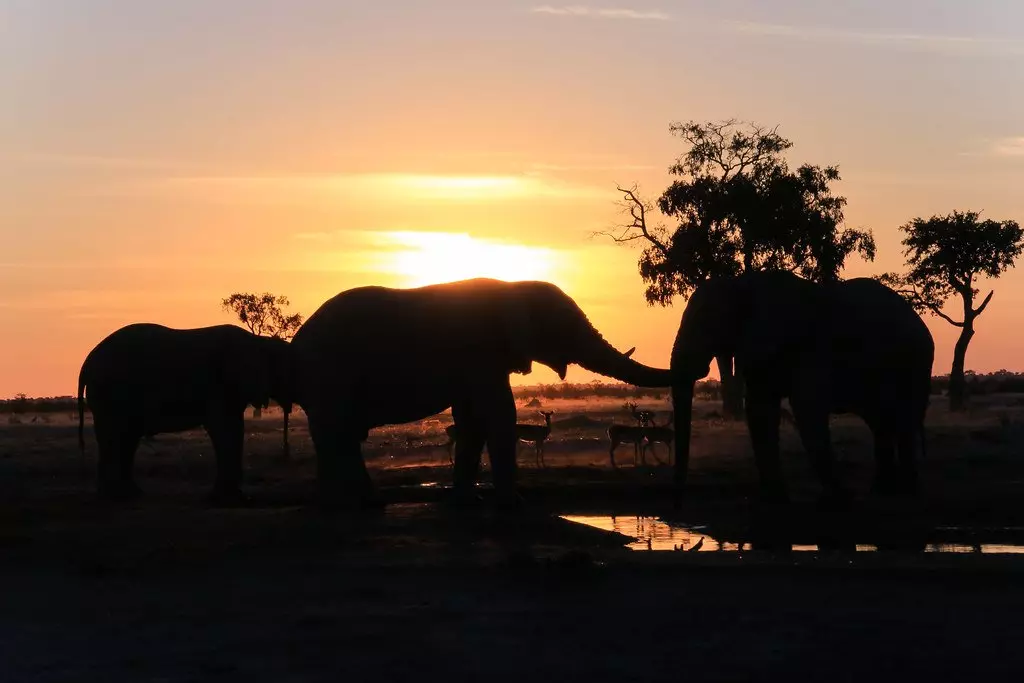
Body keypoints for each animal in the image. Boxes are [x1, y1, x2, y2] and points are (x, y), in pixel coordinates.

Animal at [78, 323, 292, 505]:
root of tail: (87, 363)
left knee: (125, 439)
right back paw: (116, 498)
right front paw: (226, 500)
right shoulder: (219, 386)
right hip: (110, 394)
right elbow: (224, 429)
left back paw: (127, 495)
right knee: (117, 437)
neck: (259, 342)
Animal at [288, 276, 671, 507]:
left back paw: (350, 504)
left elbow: (471, 419)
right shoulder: (480, 353)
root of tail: (298, 341)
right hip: (330, 373)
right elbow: (499, 412)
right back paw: (356, 505)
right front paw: (514, 504)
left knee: (339, 434)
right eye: (565, 326)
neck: (513, 287)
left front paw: (466, 502)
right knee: (337, 432)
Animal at [671, 272, 937, 507]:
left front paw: (837, 500)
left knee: (903, 420)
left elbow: (806, 408)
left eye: (705, 324)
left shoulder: (811, 349)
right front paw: (774, 501)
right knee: (881, 422)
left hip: (915, 364)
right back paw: (882, 492)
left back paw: (905, 493)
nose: (678, 503)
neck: (742, 284)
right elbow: (760, 410)